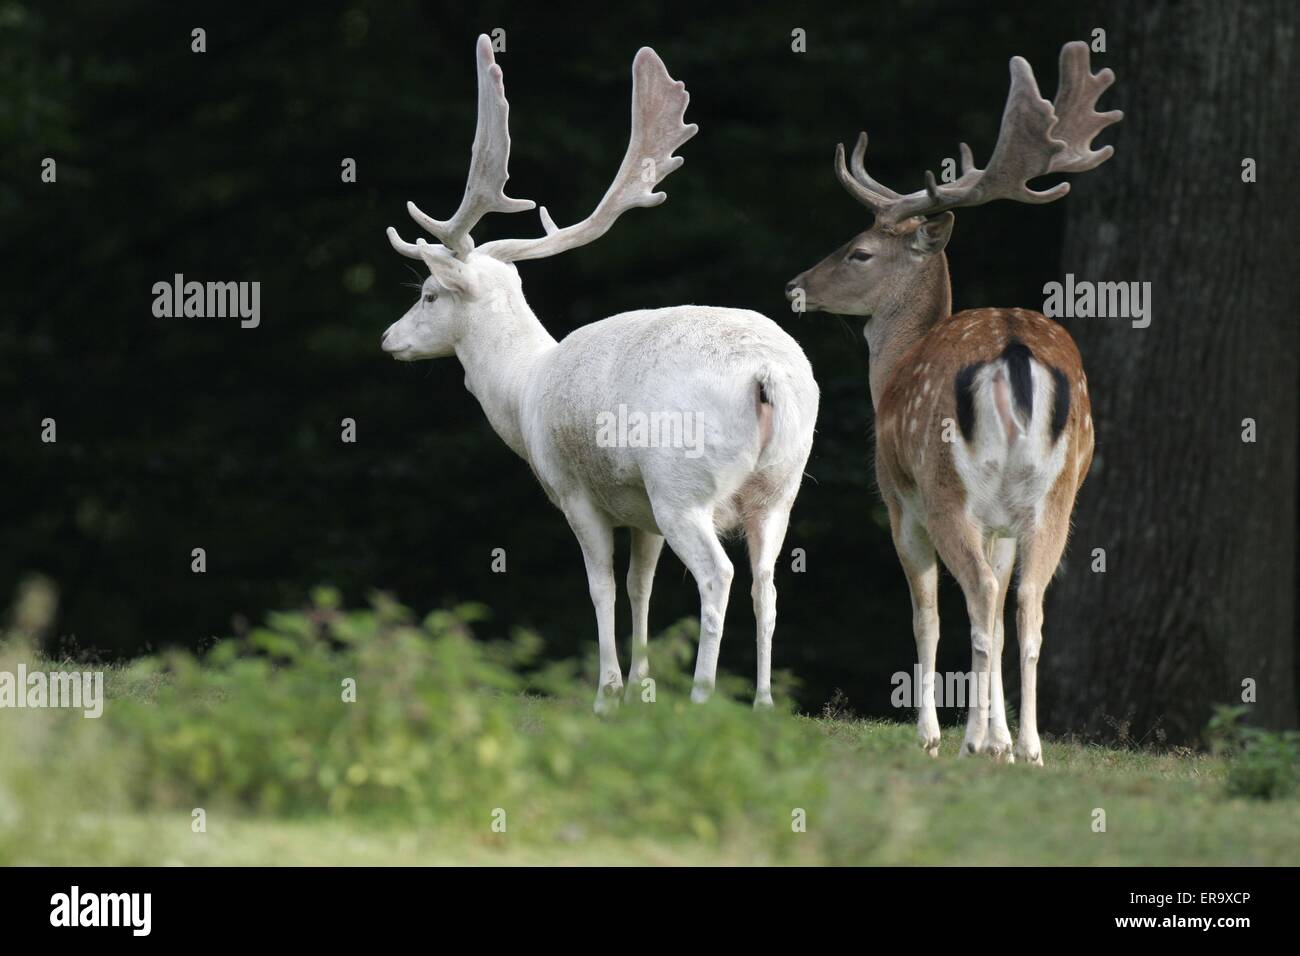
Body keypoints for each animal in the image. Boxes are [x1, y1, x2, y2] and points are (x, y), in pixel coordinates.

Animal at [383, 36, 819, 714]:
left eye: (428, 294)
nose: (388, 340)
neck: (522, 393)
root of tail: (767, 372)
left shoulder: (574, 491)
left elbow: (601, 587)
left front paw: (607, 693)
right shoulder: (640, 512)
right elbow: (641, 586)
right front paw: (642, 687)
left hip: (681, 483)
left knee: (719, 575)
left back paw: (702, 697)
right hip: (780, 487)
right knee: (767, 583)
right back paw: (765, 704)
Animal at [786, 42, 1120, 764]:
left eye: (860, 251)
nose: (795, 285)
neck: (893, 369)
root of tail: (1015, 352)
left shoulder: (897, 498)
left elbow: (928, 612)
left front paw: (937, 734)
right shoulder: (1001, 523)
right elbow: (995, 608)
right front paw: (1000, 737)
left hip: (944, 484)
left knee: (980, 594)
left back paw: (966, 742)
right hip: (1057, 494)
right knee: (1026, 602)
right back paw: (1030, 747)